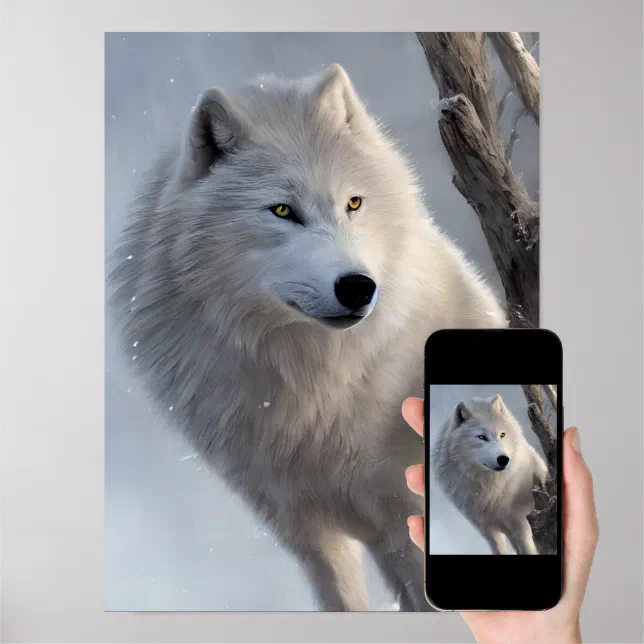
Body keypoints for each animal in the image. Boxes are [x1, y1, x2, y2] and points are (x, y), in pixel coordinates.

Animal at [108, 63, 506, 610]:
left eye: (354, 202)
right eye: (281, 211)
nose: (358, 287)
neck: (315, 385)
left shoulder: (403, 513)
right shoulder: (304, 529)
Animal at [432, 394, 548, 555]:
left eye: (502, 434)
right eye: (481, 437)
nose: (504, 459)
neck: (490, 486)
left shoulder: (521, 526)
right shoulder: (488, 531)